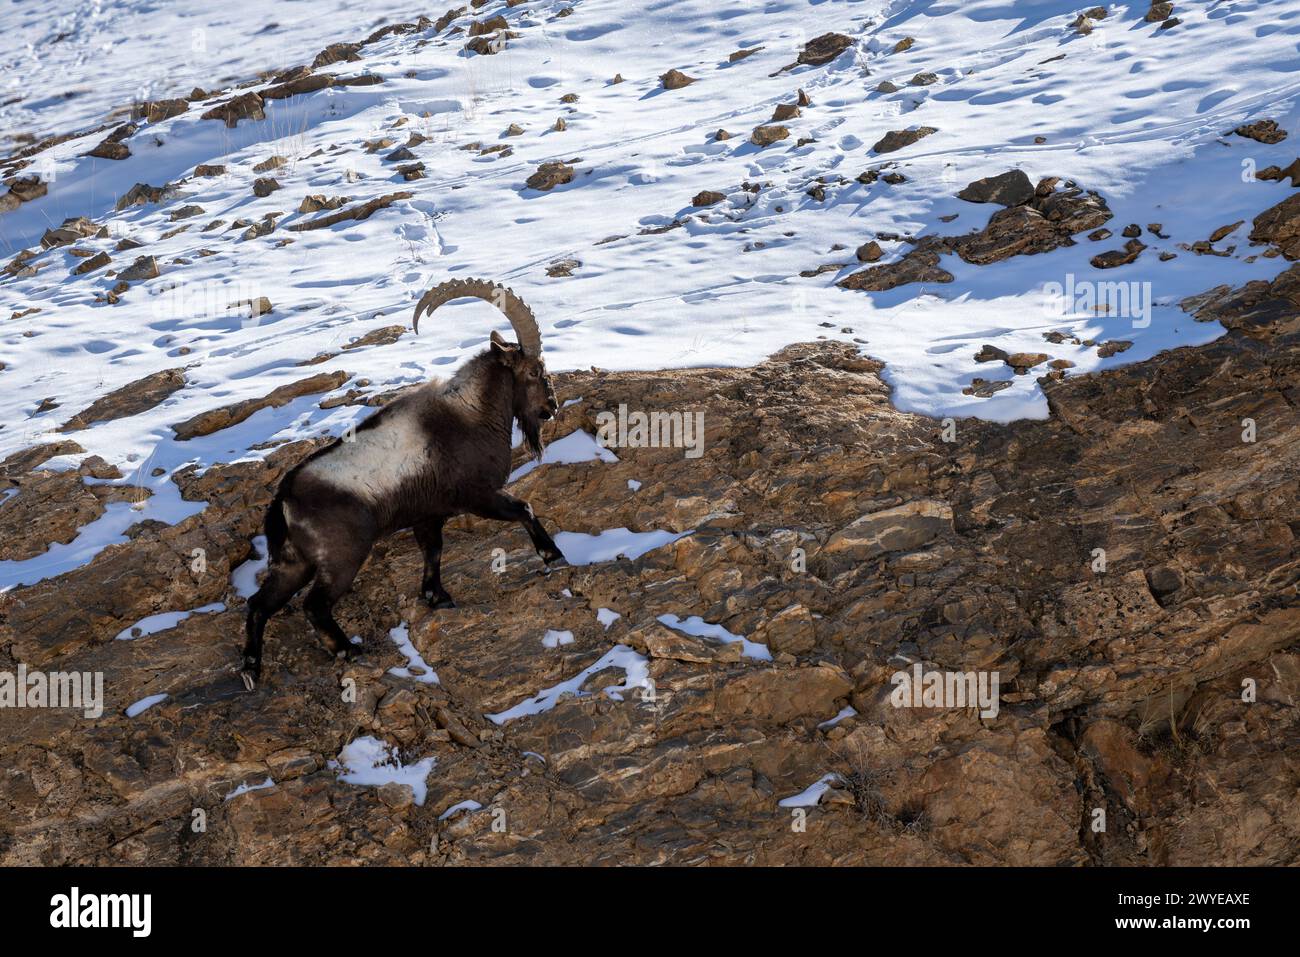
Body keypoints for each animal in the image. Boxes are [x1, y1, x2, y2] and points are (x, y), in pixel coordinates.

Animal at [240, 278, 564, 689]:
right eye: (535, 372)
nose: (551, 406)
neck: (472, 413)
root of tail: (284, 497)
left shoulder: (428, 515)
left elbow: (433, 550)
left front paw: (436, 596)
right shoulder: (478, 496)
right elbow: (524, 508)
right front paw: (552, 554)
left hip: (293, 562)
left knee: (259, 604)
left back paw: (251, 669)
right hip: (342, 557)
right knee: (314, 606)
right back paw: (347, 650)